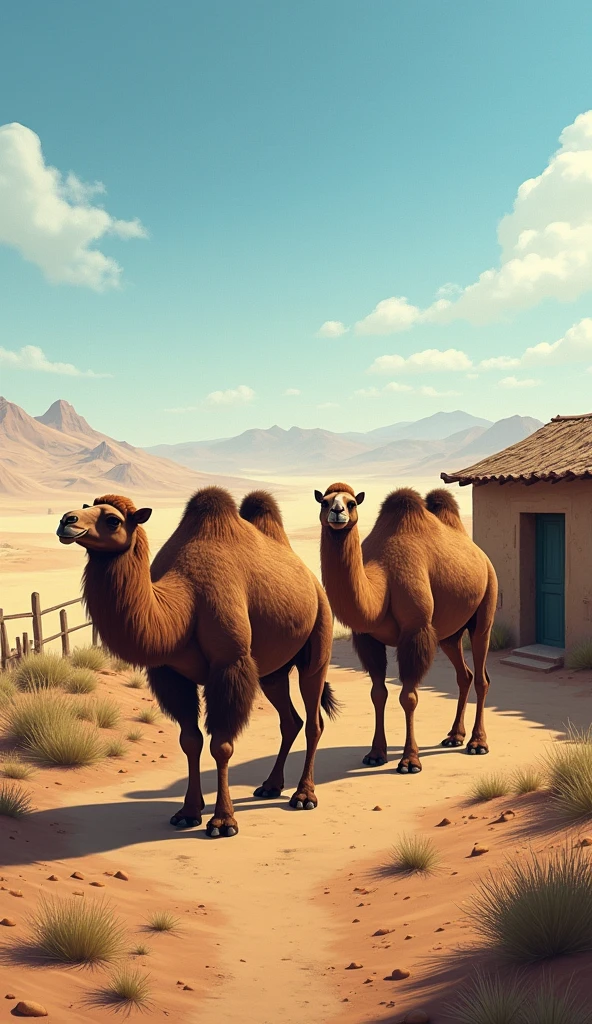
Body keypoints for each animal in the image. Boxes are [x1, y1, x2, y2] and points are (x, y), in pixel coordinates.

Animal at [57, 488, 336, 837]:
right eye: (87, 507)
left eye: (112, 520)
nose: (67, 520)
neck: (183, 604)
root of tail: (312, 580)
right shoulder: (170, 673)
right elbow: (190, 741)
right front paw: (188, 812)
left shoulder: (230, 663)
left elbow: (221, 745)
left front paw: (223, 821)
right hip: (272, 672)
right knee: (290, 720)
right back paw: (271, 786)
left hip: (319, 641)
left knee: (314, 720)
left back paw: (303, 796)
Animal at [315, 483, 497, 774]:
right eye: (324, 502)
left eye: (352, 503)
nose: (337, 512)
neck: (382, 580)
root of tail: (480, 554)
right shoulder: (367, 637)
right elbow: (378, 693)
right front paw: (375, 753)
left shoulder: (416, 630)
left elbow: (408, 697)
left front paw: (410, 761)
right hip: (448, 634)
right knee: (464, 674)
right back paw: (454, 736)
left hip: (486, 606)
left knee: (481, 676)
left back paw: (477, 743)